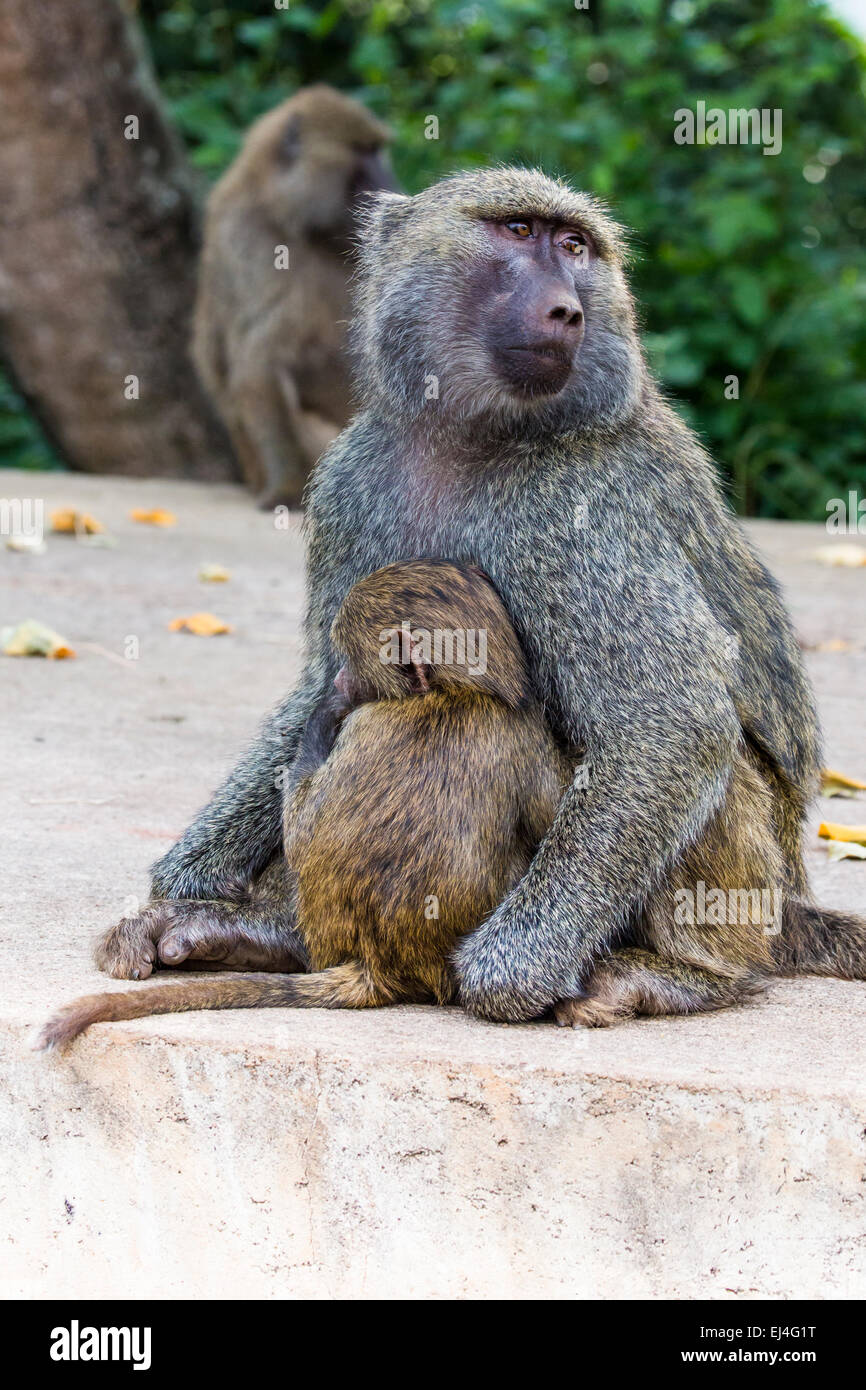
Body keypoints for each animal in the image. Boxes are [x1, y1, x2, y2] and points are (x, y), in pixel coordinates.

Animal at [93, 166, 866, 1027]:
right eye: (519, 232)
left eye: (575, 246)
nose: (567, 308)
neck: (469, 438)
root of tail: (792, 899)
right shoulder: (351, 478)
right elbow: (321, 683)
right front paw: (191, 882)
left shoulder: (580, 505)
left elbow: (671, 719)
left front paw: (512, 971)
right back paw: (264, 937)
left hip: (754, 896)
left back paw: (683, 977)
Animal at [192, 84, 396, 509]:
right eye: (361, 151)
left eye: (377, 150)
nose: (391, 185)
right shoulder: (254, 240)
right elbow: (259, 363)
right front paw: (283, 490)